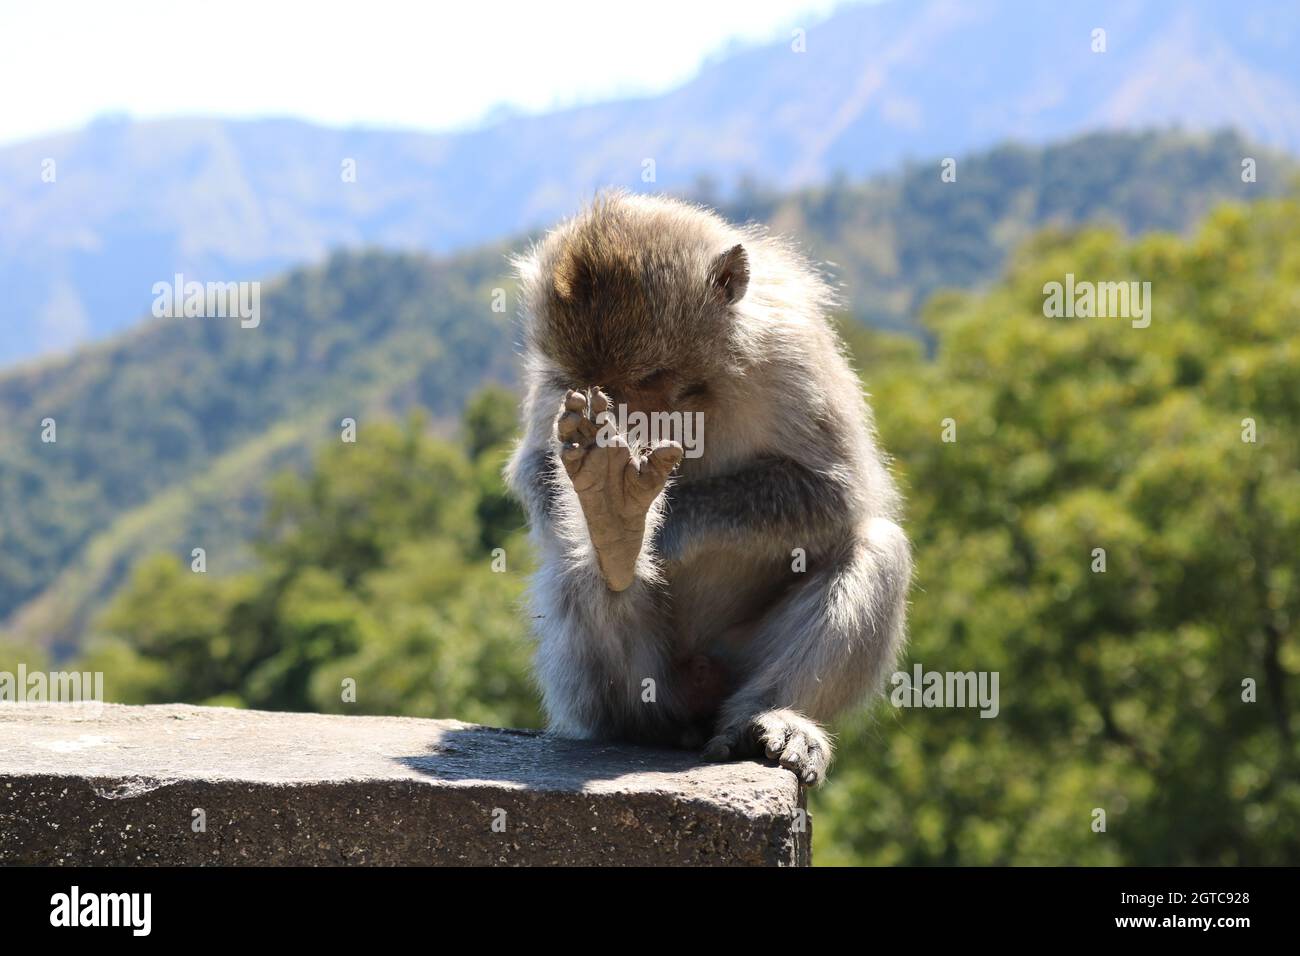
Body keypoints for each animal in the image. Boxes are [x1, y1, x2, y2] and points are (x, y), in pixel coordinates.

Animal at [504, 190, 911, 785]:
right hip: (616, 691)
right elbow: (536, 470)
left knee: (877, 546)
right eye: (591, 386)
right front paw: (612, 504)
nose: (630, 424)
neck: (705, 391)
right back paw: (613, 538)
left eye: (650, 376)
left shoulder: (788, 344)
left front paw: (661, 527)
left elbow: (837, 491)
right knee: (576, 572)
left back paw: (769, 719)